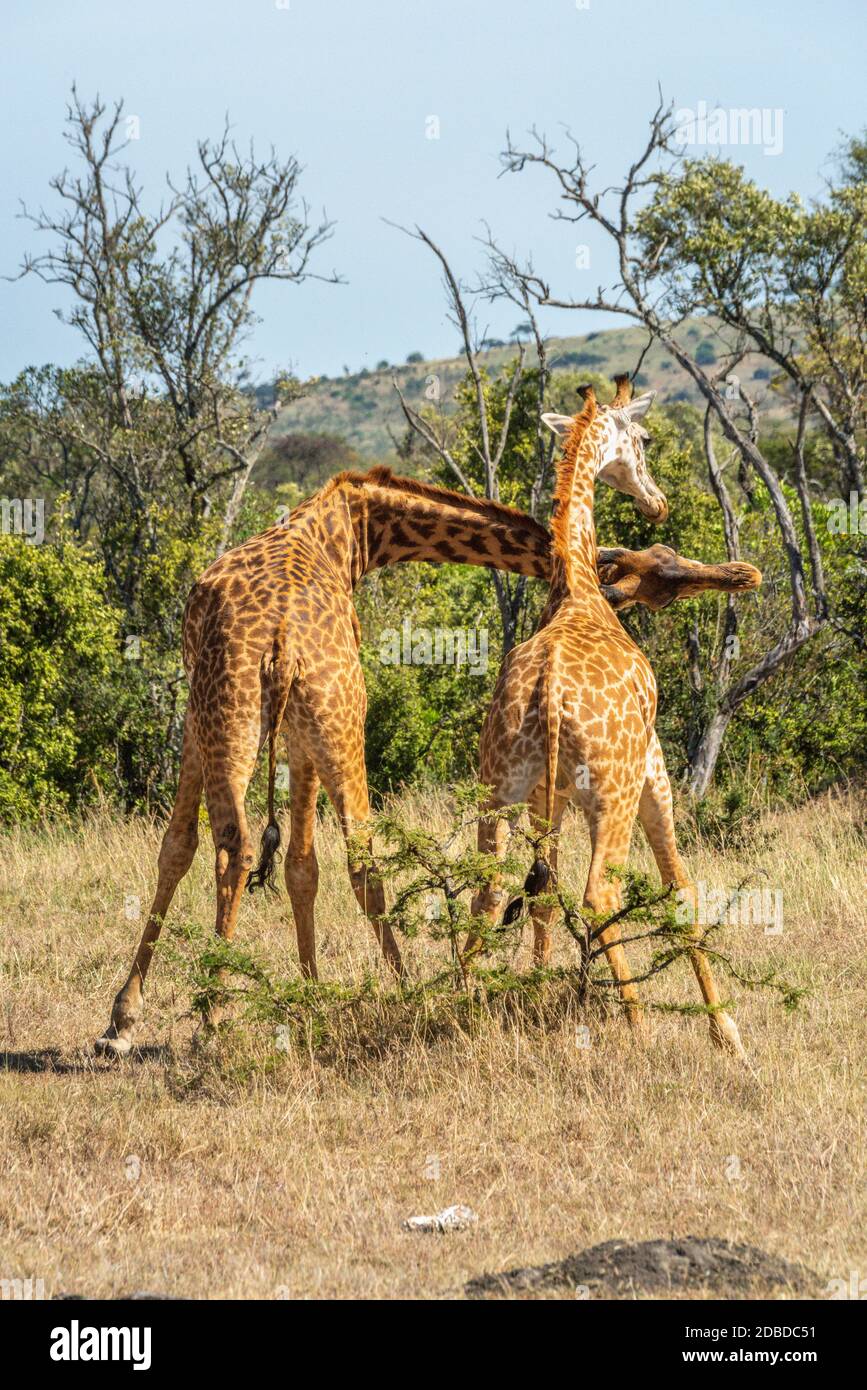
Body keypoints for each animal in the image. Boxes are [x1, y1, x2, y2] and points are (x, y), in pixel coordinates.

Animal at [95, 464, 685, 1055]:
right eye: (657, 568)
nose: (659, 511)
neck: (347, 530)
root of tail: (281, 642)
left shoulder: (213, 717)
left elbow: (196, 850)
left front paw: (124, 1018)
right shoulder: (264, 726)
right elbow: (259, 860)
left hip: (257, 721)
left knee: (243, 848)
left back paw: (222, 1015)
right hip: (308, 721)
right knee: (339, 855)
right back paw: (392, 996)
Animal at [468, 383, 761, 1056]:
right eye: (645, 439)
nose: (658, 503)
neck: (577, 587)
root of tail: (549, 694)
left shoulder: (545, 797)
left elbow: (541, 897)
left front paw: (542, 989)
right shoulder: (653, 769)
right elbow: (680, 887)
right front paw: (726, 1031)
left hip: (501, 788)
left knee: (489, 891)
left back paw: (460, 1006)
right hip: (613, 791)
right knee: (601, 893)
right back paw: (639, 1025)